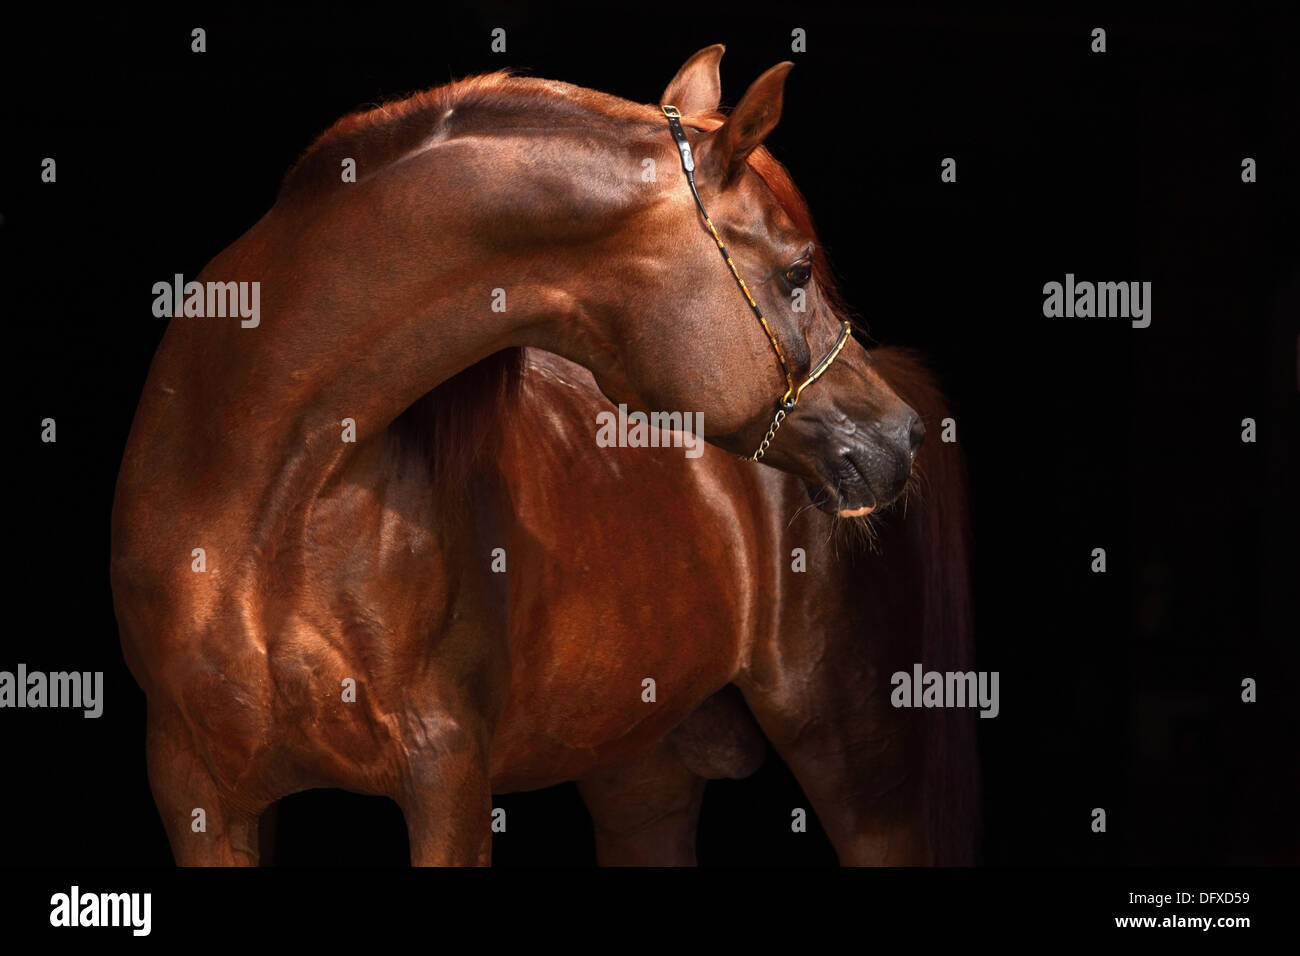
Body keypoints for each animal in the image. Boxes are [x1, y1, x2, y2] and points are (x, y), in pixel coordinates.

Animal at [111, 47, 935, 865]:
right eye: (796, 271)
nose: (903, 435)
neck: (259, 492)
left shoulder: (446, 777)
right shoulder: (195, 791)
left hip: (854, 756)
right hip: (638, 772)